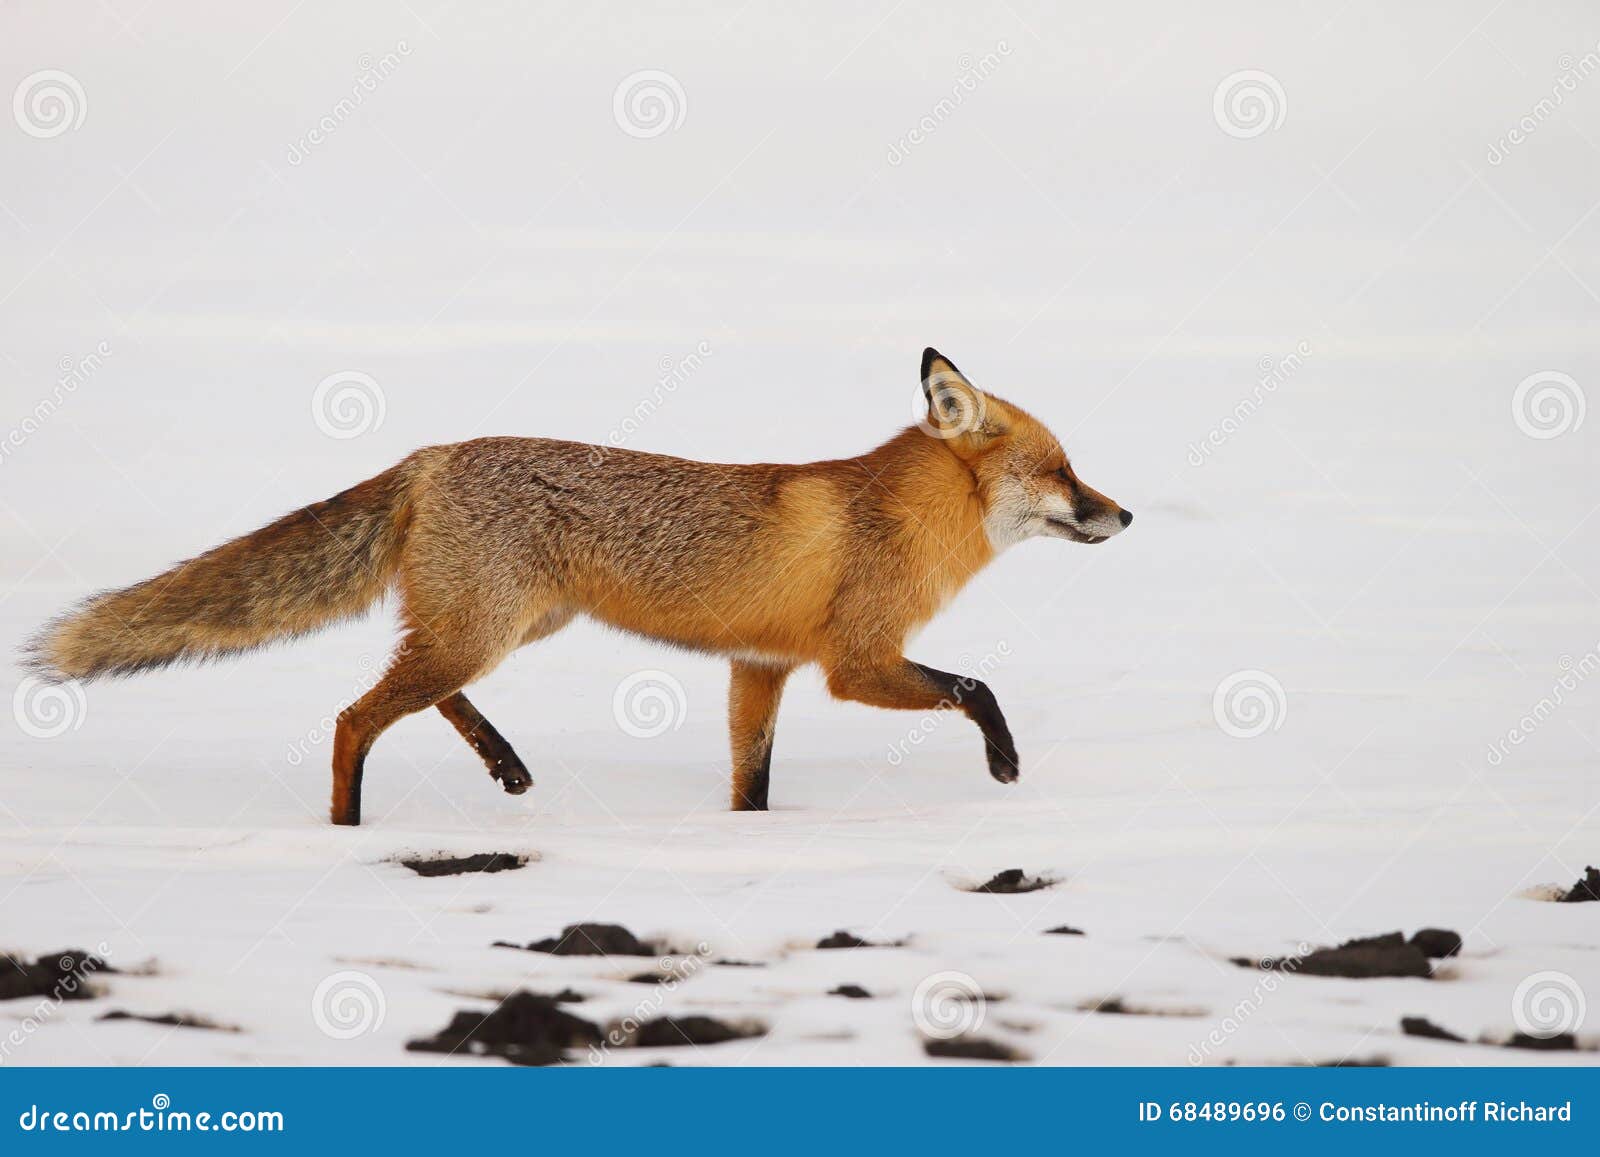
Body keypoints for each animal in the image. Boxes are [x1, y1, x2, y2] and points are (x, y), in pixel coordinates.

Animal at [26, 349, 1131, 825]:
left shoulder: (761, 668)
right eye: (1062, 470)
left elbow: (753, 782)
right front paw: (1003, 764)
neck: (898, 518)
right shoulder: (853, 663)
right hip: (490, 628)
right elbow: (976, 686)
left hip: (510, 626)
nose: (1124, 516)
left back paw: (505, 766)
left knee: (425, 693)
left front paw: (752, 844)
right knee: (353, 717)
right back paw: (348, 832)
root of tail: (433, 454)